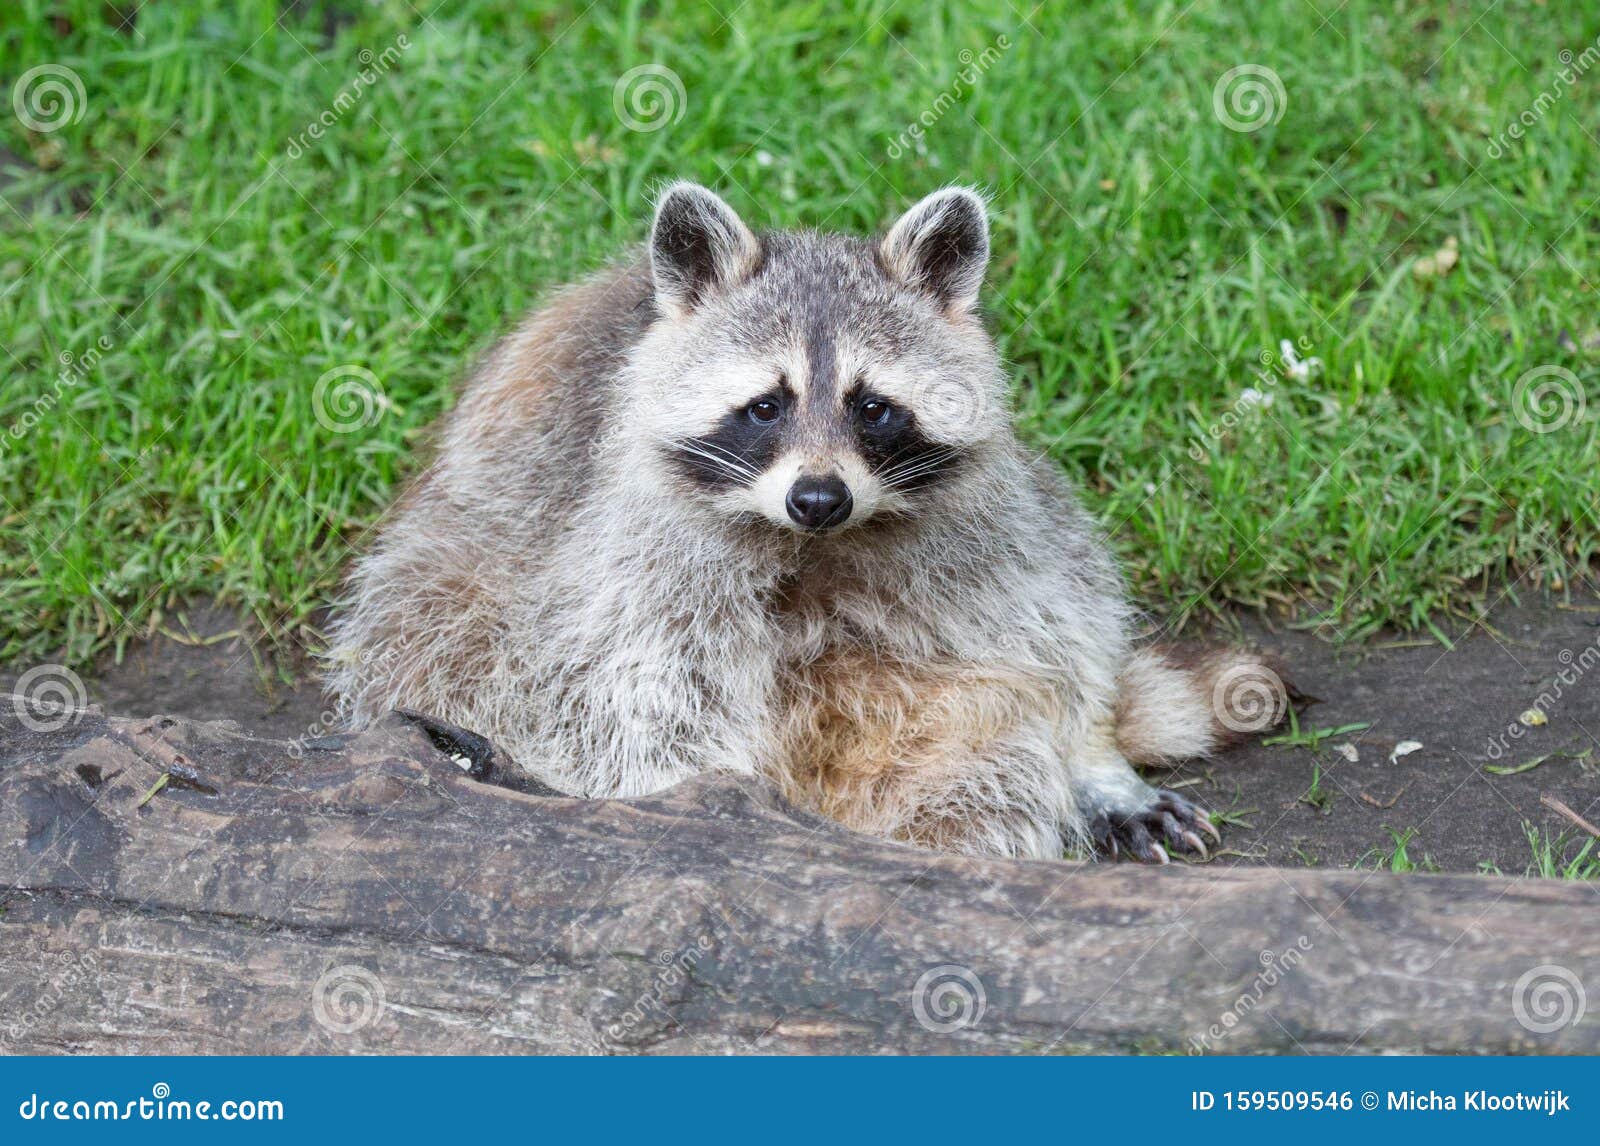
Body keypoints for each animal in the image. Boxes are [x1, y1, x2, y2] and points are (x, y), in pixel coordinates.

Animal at [324, 182, 1288, 861]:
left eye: (873, 407)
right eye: (765, 406)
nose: (818, 497)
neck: (817, 547)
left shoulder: (995, 516)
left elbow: (1060, 627)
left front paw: (1095, 759)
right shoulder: (628, 558)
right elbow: (621, 701)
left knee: (980, 769)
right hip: (447, 564)